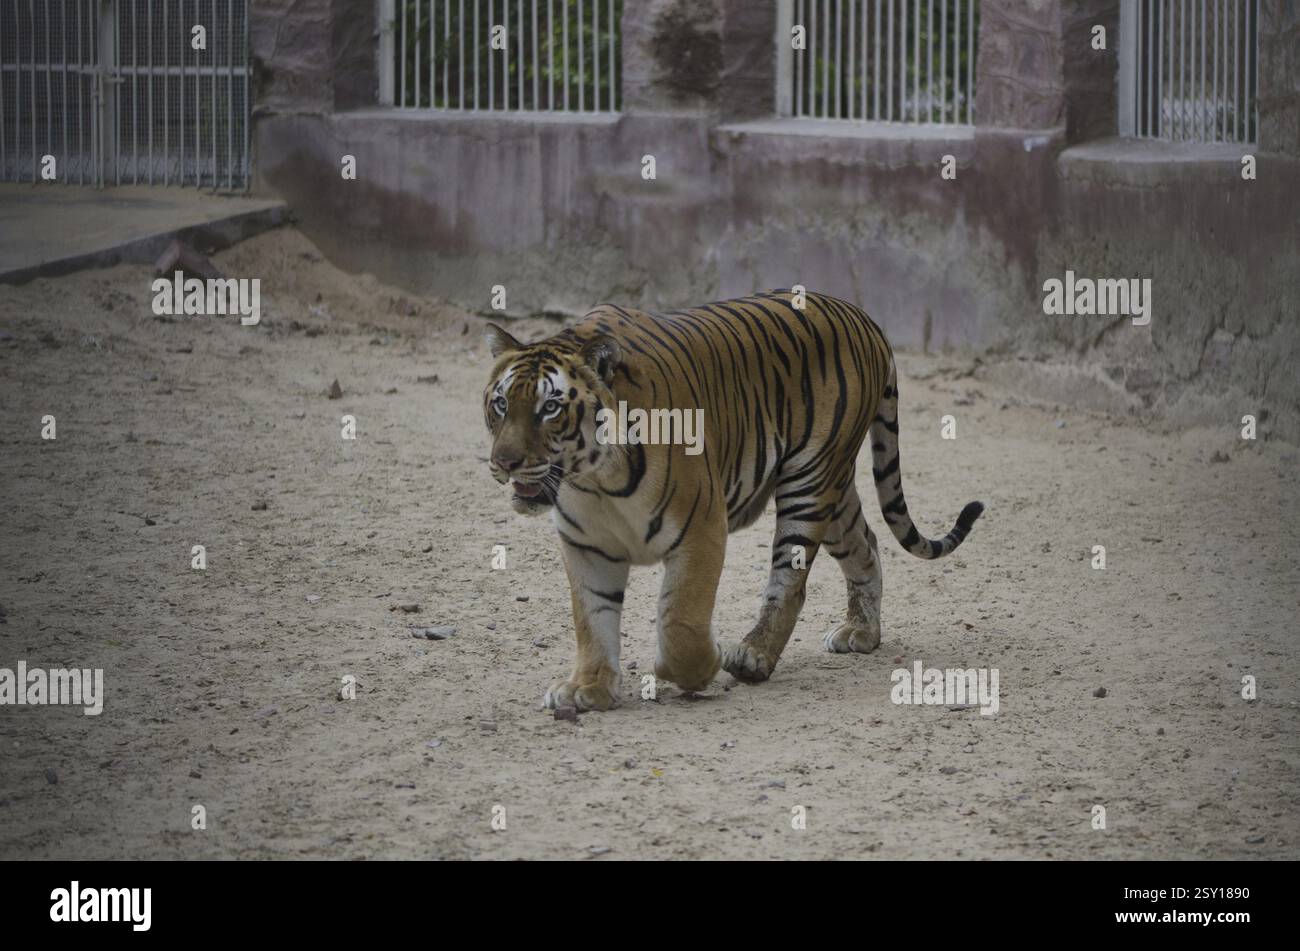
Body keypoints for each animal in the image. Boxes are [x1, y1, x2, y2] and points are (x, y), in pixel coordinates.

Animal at [482, 290, 984, 712]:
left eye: (550, 408)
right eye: (501, 404)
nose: (504, 462)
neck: (594, 480)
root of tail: (863, 316)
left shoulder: (702, 526)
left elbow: (681, 620)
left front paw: (695, 668)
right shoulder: (586, 545)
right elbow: (591, 618)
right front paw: (588, 688)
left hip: (809, 481)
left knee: (791, 581)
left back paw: (752, 656)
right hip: (835, 489)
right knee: (867, 545)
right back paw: (862, 632)